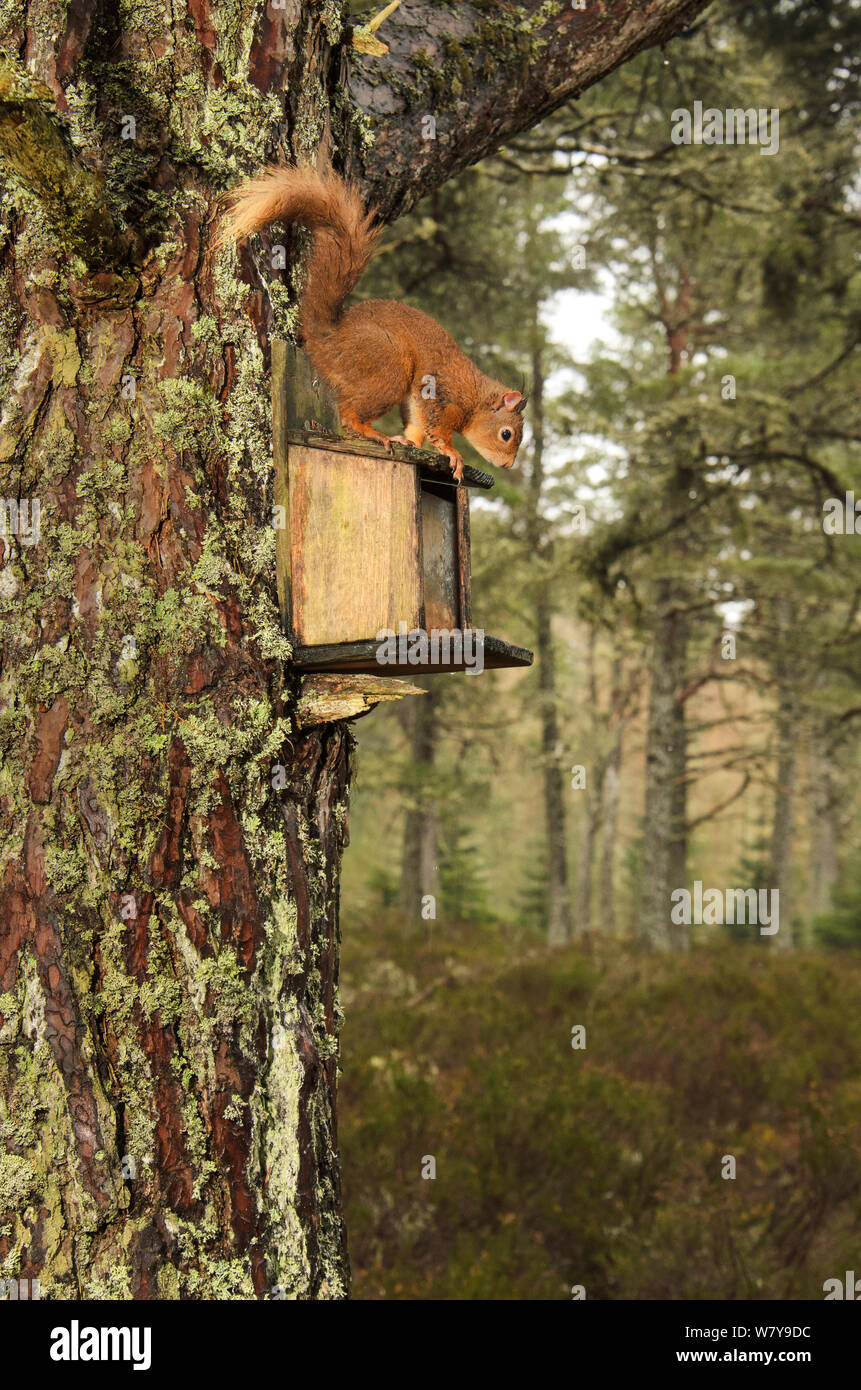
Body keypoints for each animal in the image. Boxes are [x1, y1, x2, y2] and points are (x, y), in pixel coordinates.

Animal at [216, 165, 527, 481]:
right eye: (506, 434)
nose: (507, 465)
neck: (475, 397)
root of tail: (328, 335)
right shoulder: (440, 396)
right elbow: (438, 430)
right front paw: (453, 454)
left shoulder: (417, 406)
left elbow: (416, 428)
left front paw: (413, 445)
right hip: (388, 368)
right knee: (349, 415)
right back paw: (377, 434)